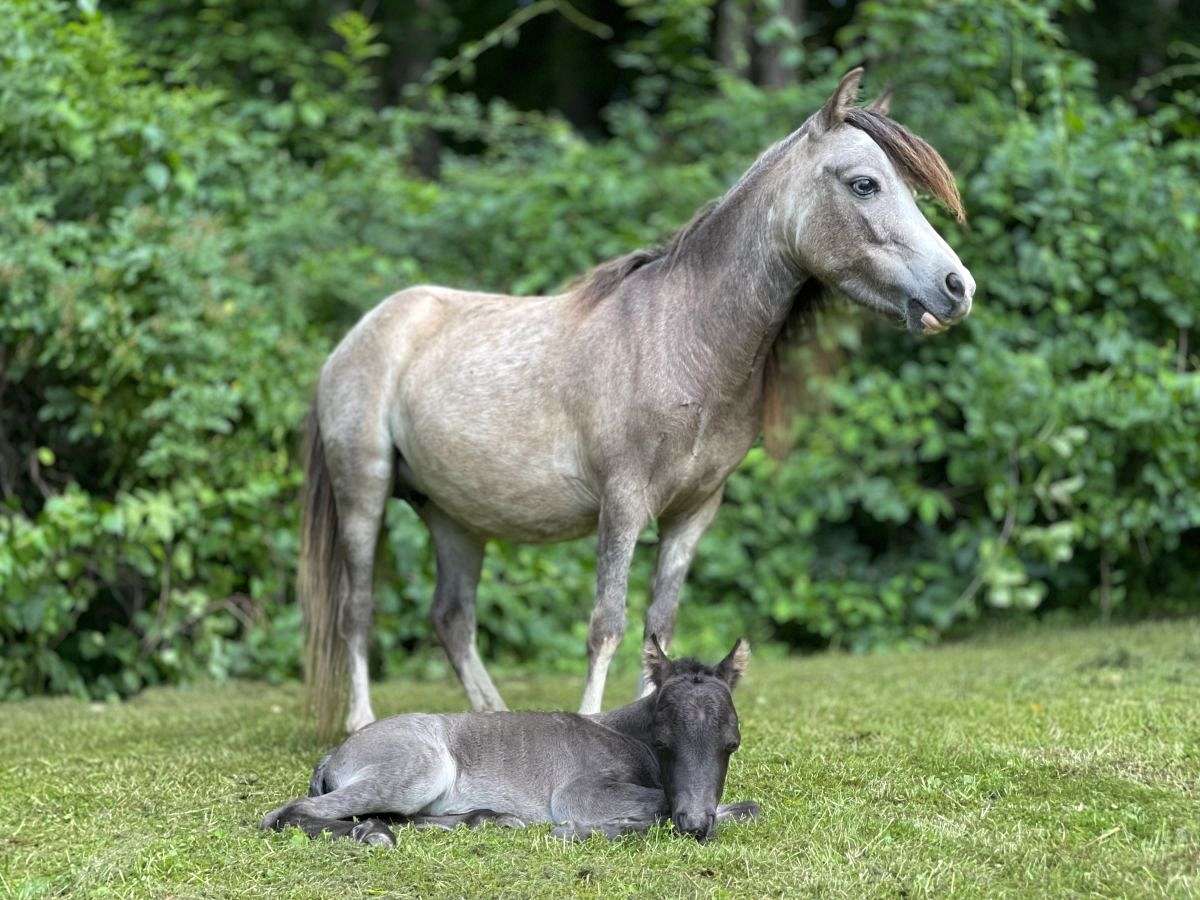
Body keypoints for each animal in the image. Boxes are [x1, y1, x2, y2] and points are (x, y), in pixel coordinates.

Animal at [263, 638, 758, 843]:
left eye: (730, 744)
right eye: (664, 742)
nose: (694, 826)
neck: (626, 734)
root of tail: (334, 754)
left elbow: (749, 808)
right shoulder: (580, 792)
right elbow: (657, 806)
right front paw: (578, 831)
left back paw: (488, 820)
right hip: (418, 769)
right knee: (288, 813)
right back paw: (372, 835)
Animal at [300, 67, 975, 737]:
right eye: (865, 184)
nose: (958, 287)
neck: (687, 341)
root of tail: (359, 336)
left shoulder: (692, 513)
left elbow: (660, 628)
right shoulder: (623, 505)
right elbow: (607, 625)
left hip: (454, 517)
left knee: (452, 617)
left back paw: (491, 717)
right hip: (364, 491)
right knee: (358, 608)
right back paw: (361, 722)